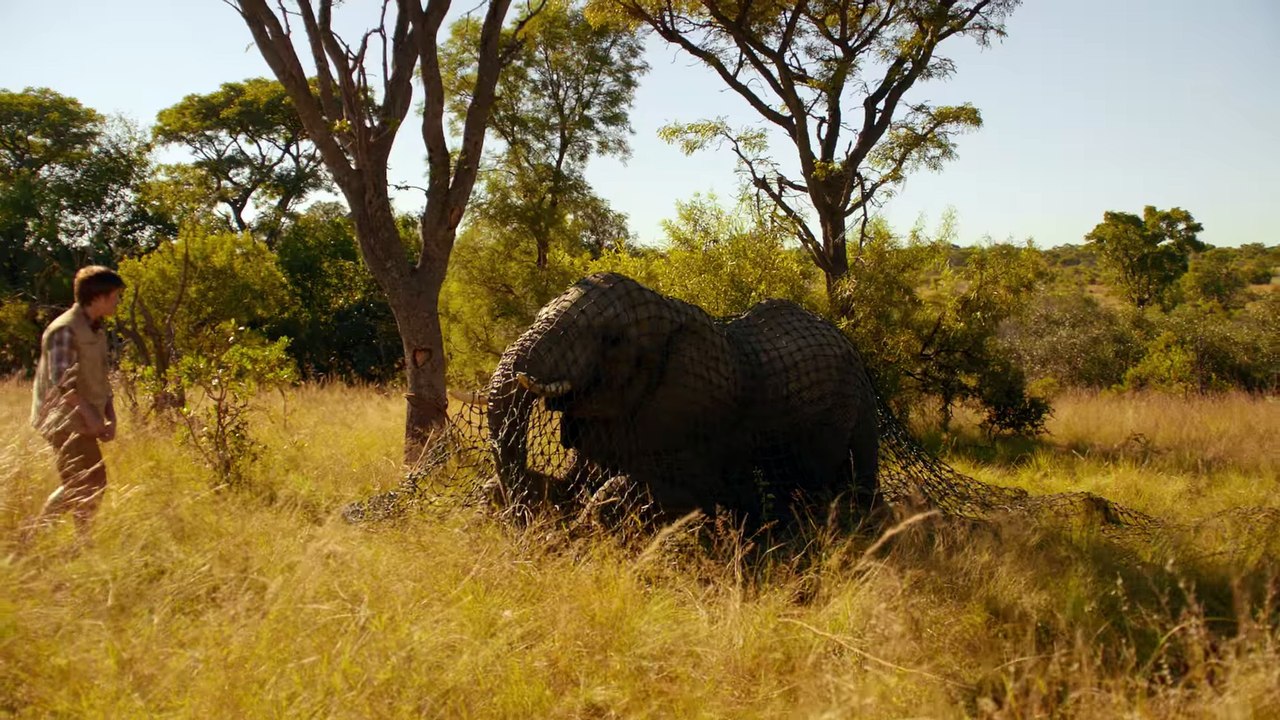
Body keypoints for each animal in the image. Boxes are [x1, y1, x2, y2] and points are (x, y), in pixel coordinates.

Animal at [485, 272, 881, 524]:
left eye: (612, 340)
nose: (517, 520)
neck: (666, 313)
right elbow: (578, 479)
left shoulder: (691, 413)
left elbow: (666, 492)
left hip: (855, 406)